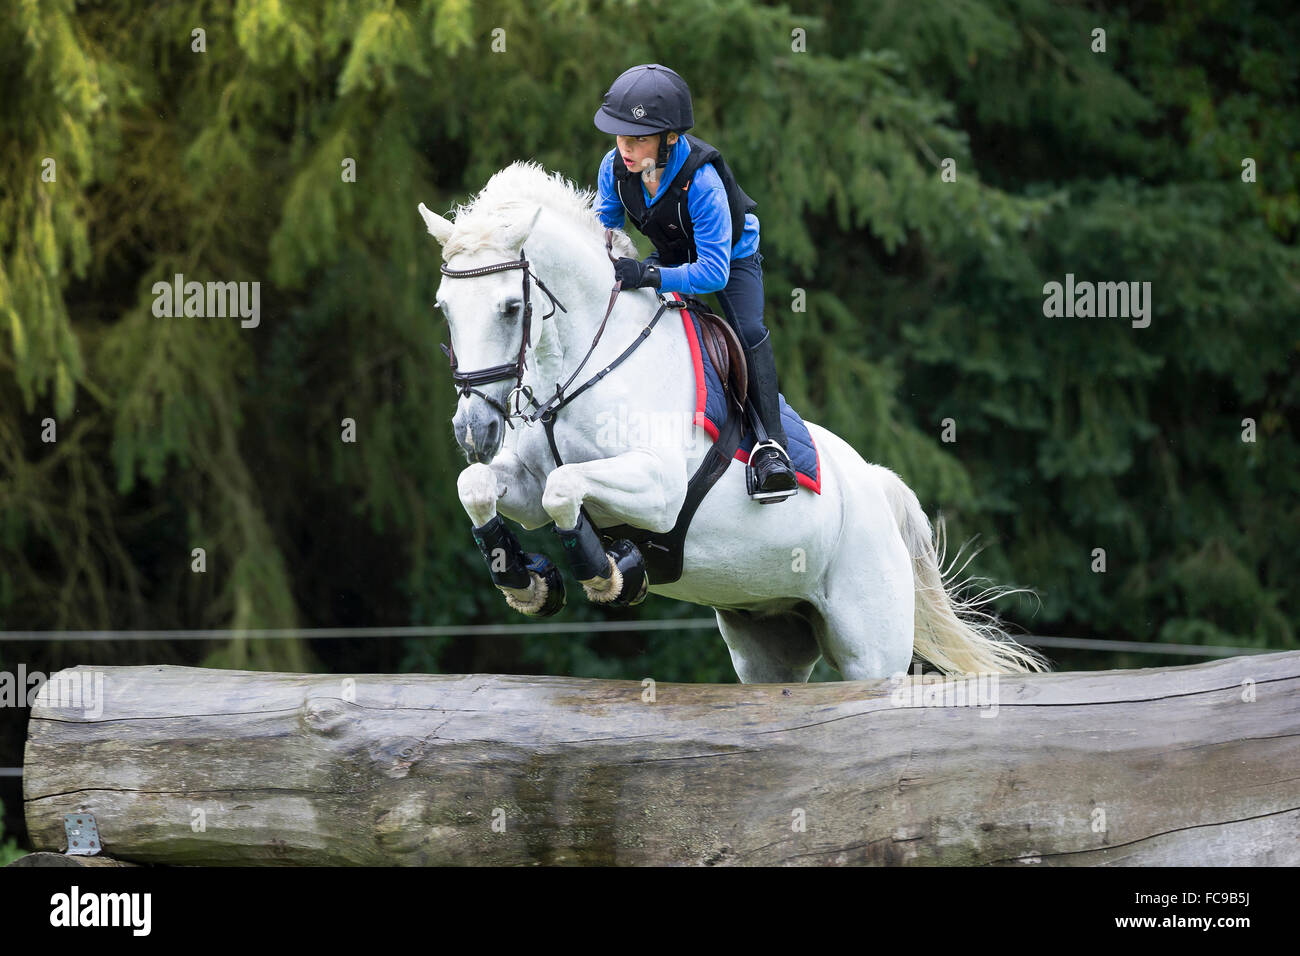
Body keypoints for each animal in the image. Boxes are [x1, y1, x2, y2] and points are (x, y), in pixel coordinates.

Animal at [418, 161, 1048, 683]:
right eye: (444, 308)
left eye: (511, 308)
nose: (473, 429)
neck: (581, 367)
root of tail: (879, 488)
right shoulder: (522, 487)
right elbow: (481, 486)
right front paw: (525, 581)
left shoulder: (659, 489)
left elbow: (564, 485)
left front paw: (607, 574)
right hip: (767, 638)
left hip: (871, 643)